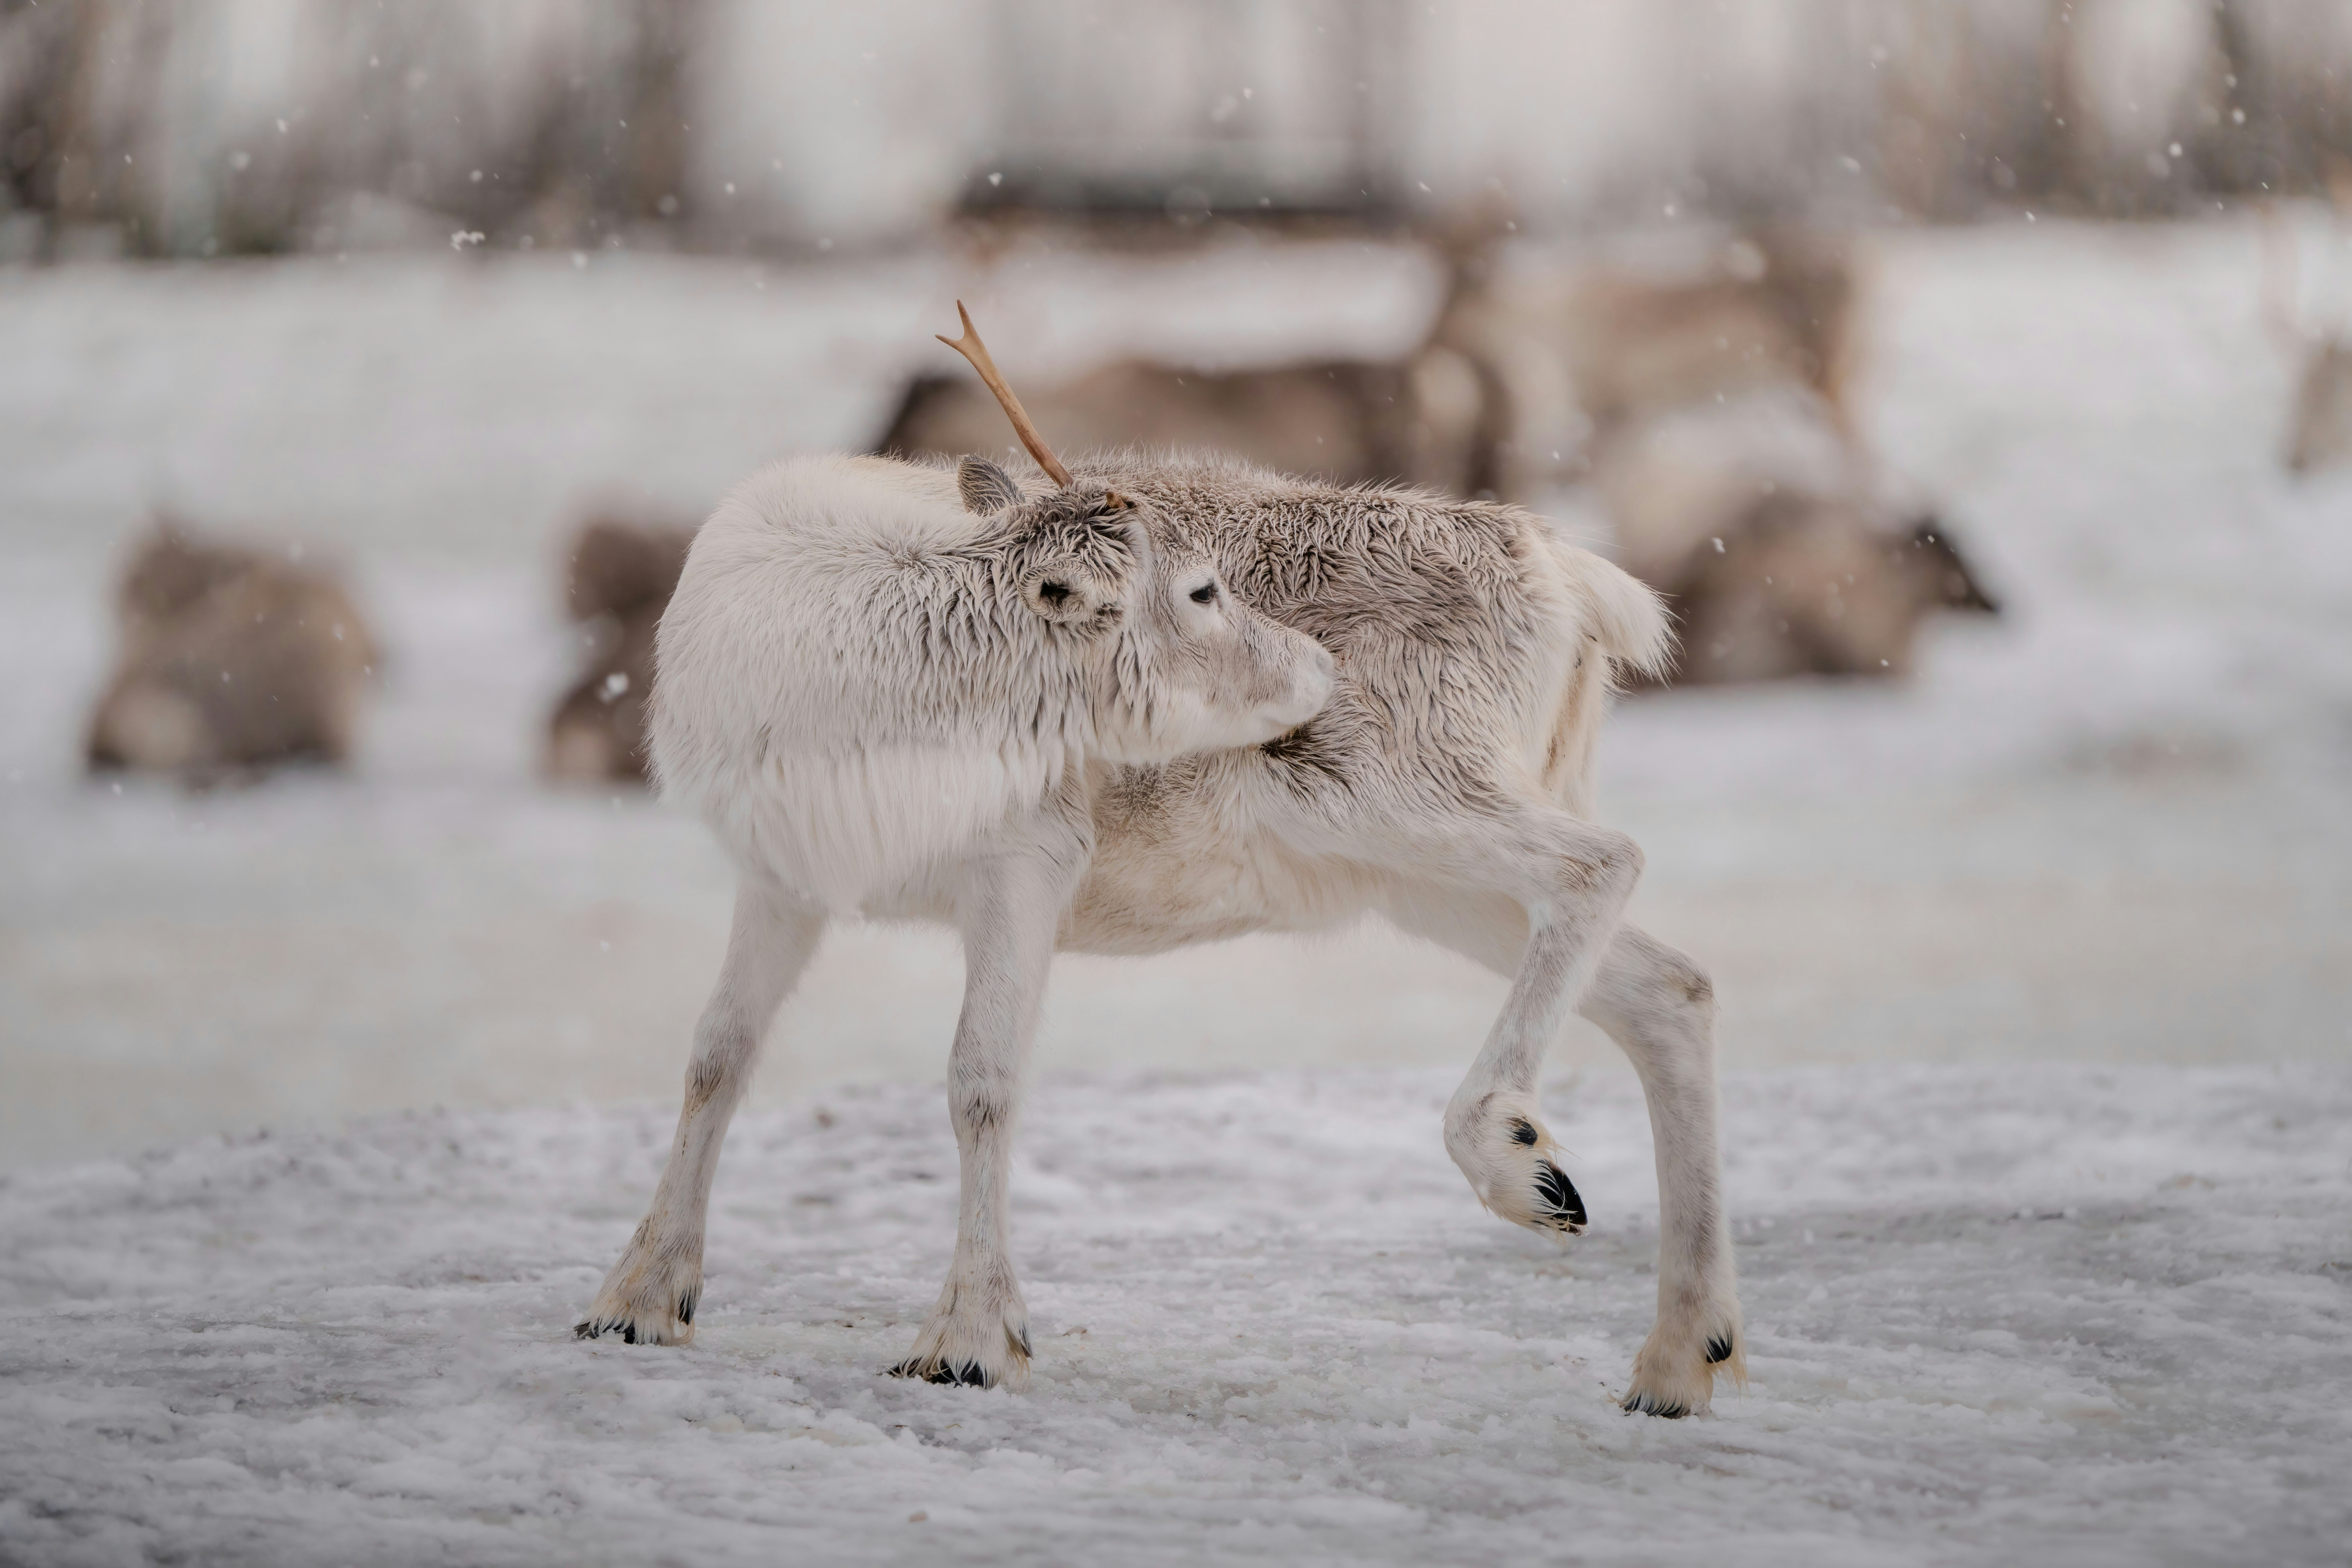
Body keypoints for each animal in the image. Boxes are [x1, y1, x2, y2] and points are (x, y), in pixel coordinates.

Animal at [577, 304, 1745, 1420]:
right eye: (1198, 592)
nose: (1318, 673)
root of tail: (1575, 579)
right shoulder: (782, 877)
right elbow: (716, 1058)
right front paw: (637, 1302)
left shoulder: (1022, 864)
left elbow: (981, 1084)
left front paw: (969, 1344)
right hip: (1426, 883)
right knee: (1669, 987)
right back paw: (1677, 1358)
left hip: (1406, 804)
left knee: (1604, 864)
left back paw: (1516, 1161)